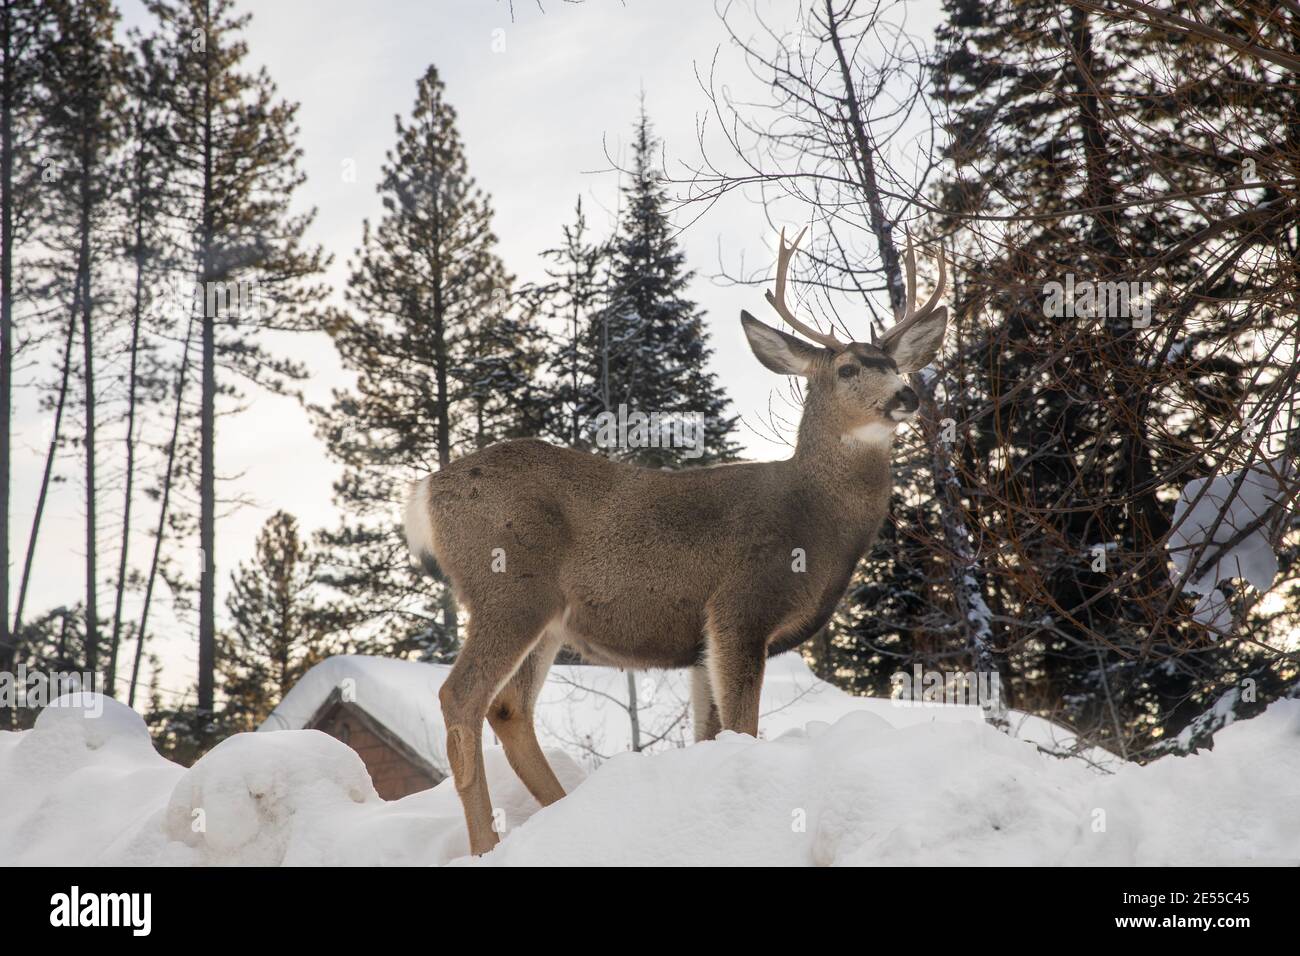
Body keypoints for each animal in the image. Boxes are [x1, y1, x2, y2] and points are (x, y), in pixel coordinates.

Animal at [404, 227, 948, 855]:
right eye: (848, 369)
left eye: (896, 363)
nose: (907, 394)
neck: (817, 522)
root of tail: (425, 492)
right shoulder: (739, 608)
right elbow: (743, 728)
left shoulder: (700, 644)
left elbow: (710, 735)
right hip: (508, 588)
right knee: (461, 698)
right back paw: (487, 846)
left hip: (546, 618)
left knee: (511, 708)